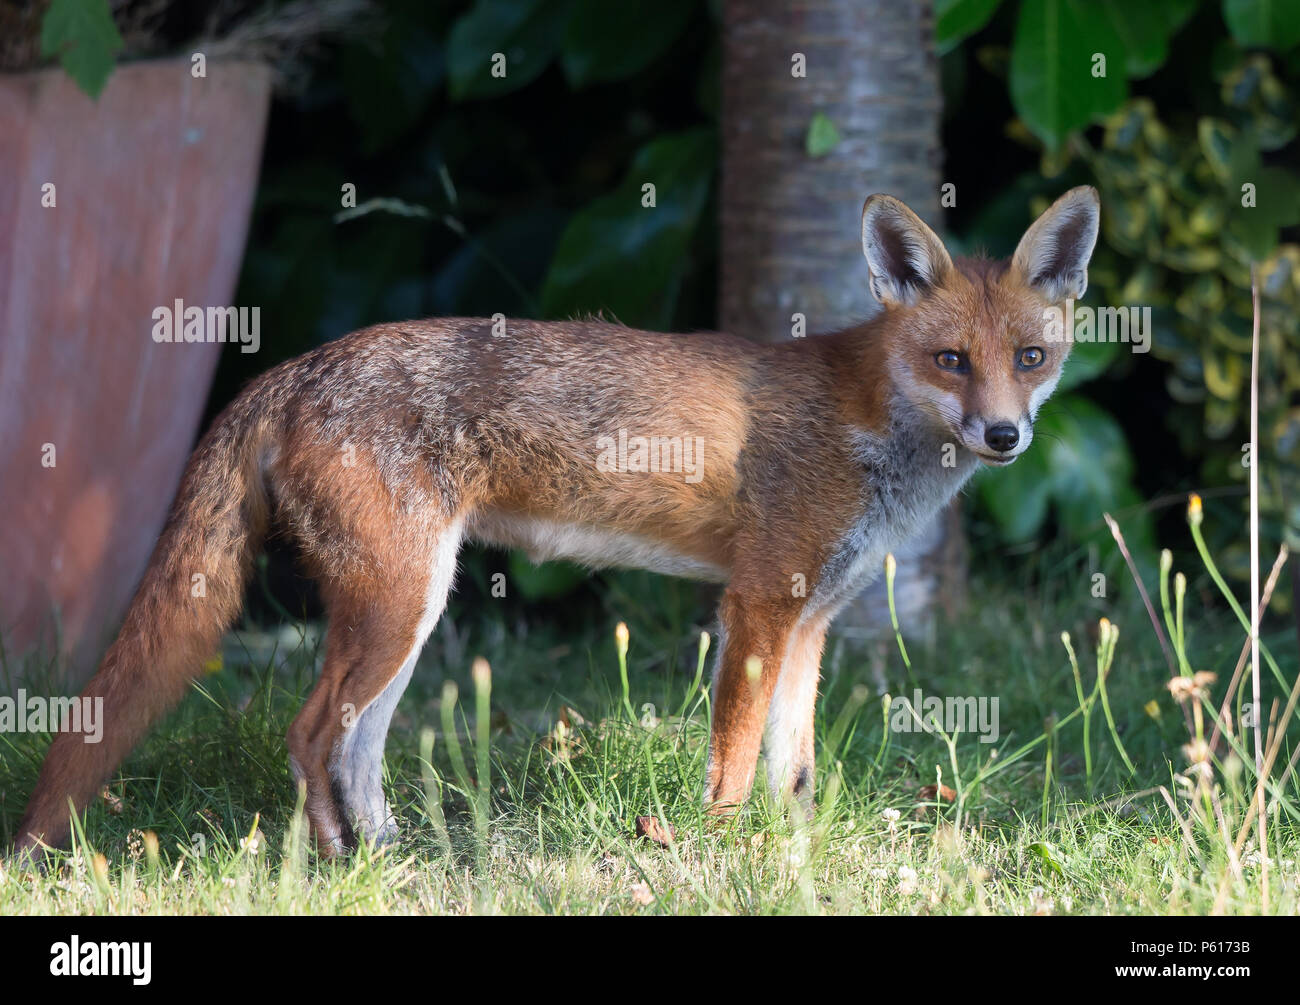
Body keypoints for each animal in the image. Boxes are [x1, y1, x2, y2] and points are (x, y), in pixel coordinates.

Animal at [13, 186, 1100, 859]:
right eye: (952, 360)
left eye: (1032, 358)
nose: (1004, 435)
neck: (870, 431)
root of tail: (293, 366)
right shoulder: (756, 606)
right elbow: (735, 759)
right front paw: (720, 851)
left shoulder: (814, 619)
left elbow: (792, 769)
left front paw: (790, 856)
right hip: (398, 604)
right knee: (309, 732)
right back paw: (332, 865)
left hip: (407, 610)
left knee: (354, 745)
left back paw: (389, 860)